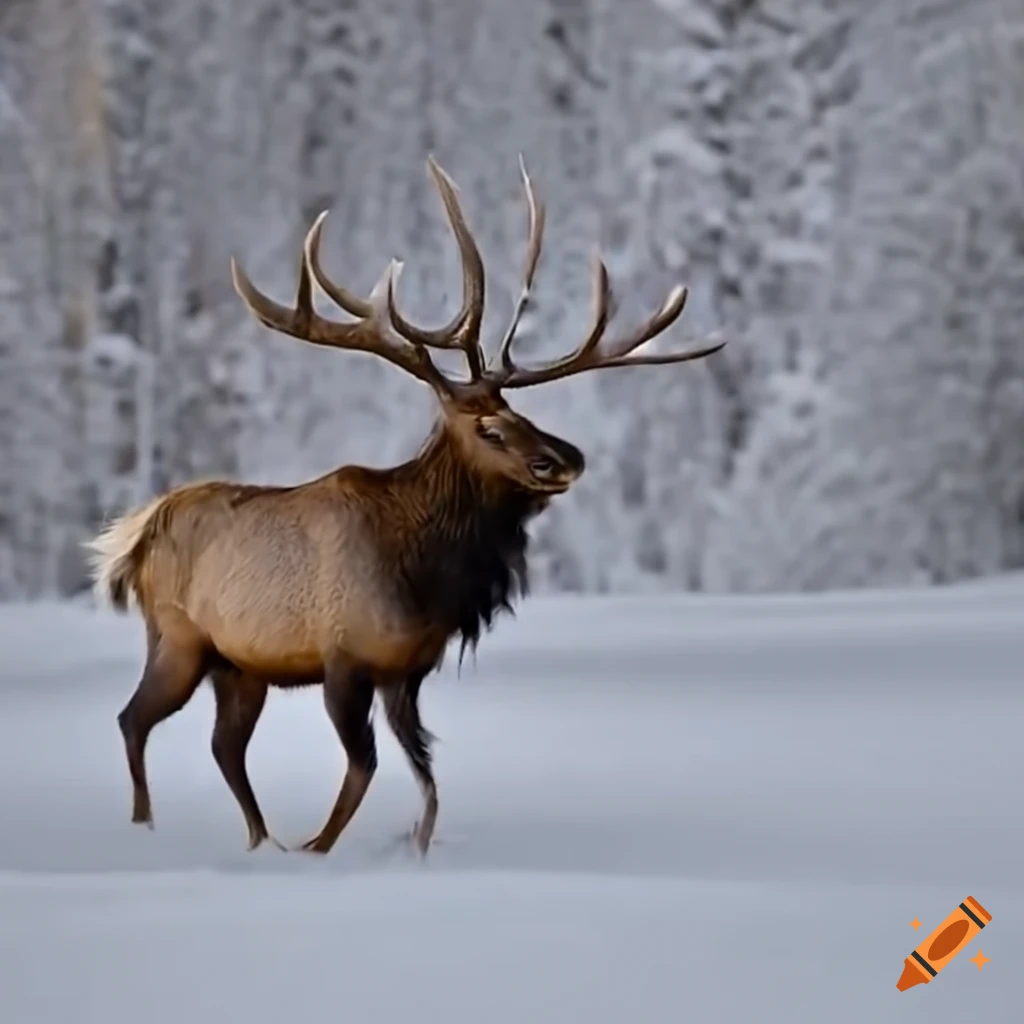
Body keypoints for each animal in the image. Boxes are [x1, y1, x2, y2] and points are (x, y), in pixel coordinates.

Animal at [86, 156, 725, 858]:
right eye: (488, 428)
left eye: (521, 414)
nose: (565, 459)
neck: (429, 574)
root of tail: (138, 532)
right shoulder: (344, 659)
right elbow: (364, 769)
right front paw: (319, 849)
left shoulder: (407, 670)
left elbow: (428, 780)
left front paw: (408, 847)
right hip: (179, 637)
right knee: (134, 719)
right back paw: (151, 829)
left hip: (240, 665)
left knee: (224, 746)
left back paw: (260, 840)